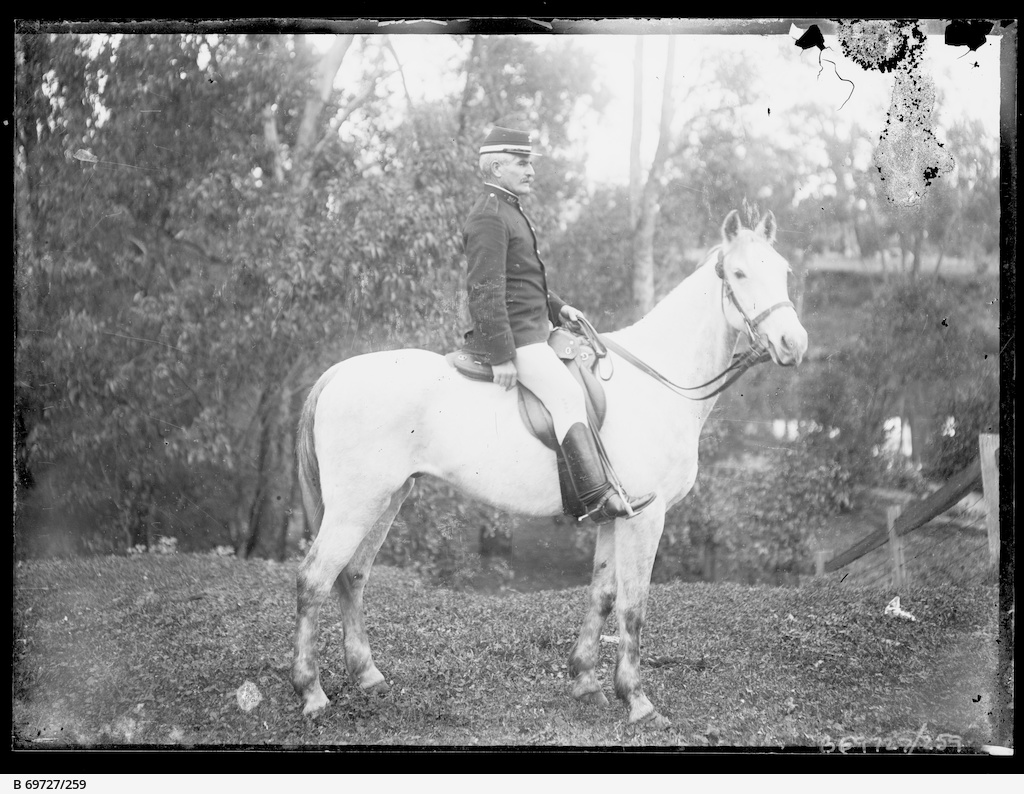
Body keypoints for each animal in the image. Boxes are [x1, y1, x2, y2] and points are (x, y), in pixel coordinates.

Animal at [291, 209, 808, 728]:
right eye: (739, 273)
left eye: (784, 271)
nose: (794, 343)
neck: (656, 380)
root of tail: (339, 372)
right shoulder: (647, 517)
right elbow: (633, 606)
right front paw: (638, 701)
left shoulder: (615, 514)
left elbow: (602, 595)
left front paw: (586, 681)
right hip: (357, 504)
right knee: (314, 580)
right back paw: (312, 693)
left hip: (387, 498)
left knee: (353, 576)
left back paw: (368, 676)